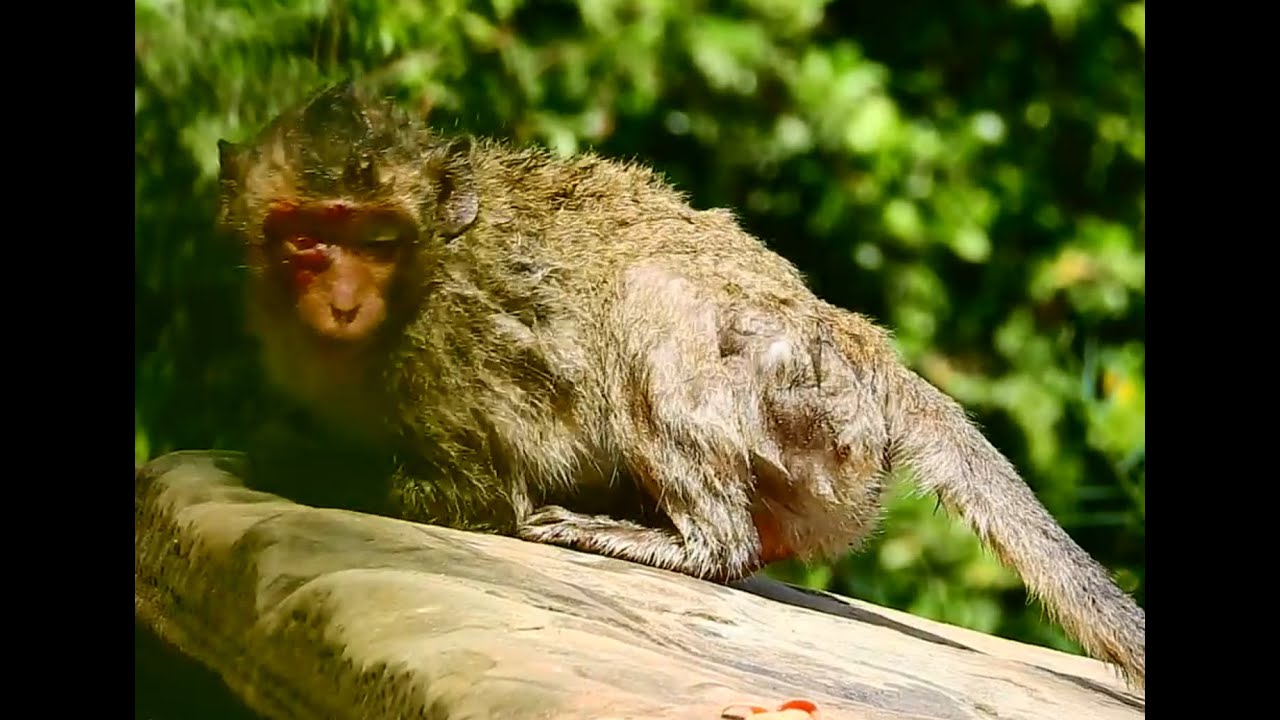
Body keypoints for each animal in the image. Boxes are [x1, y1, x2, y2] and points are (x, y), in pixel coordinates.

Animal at [216, 82, 1145, 691]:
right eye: (306, 237)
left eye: (376, 238)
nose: (341, 299)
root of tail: (852, 336)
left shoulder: (452, 354)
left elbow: (475, 490)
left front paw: (290, 461)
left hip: (802, 399)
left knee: (653, 304)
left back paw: (690, 543)